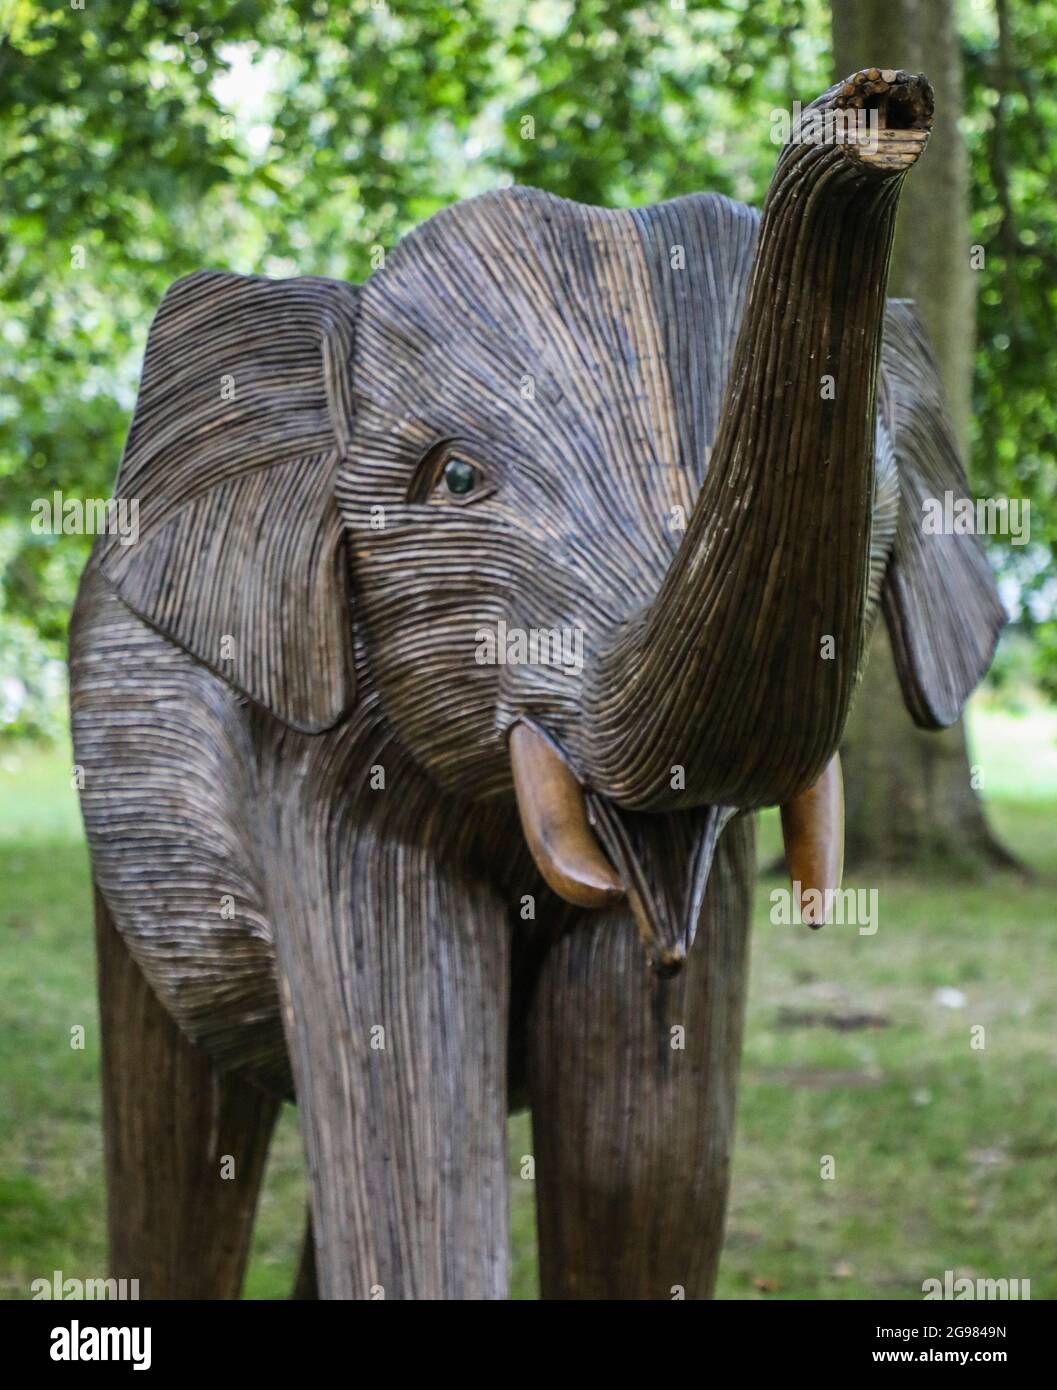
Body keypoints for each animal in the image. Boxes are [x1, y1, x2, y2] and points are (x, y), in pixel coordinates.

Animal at [69, 69, 1003, 1300]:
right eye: (456, 478)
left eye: (877, 488)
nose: (875, 106)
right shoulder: (321, 770)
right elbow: (414, 1113)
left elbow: (643, 1164)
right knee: (186, 1138)